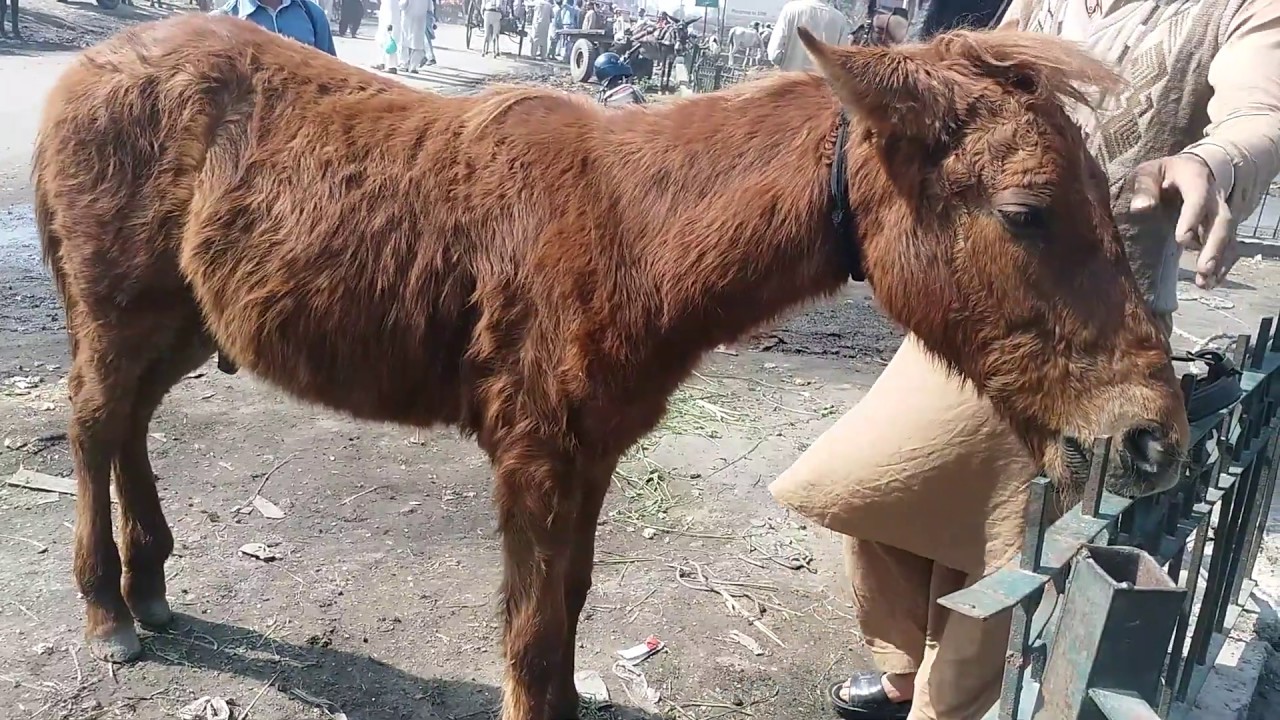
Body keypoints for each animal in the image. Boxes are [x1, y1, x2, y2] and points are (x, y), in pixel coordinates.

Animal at [34, 15, 1188, 720]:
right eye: (1027, 212)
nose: (1152, 439)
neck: (636, 234)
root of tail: (86, 69)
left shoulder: (591, 455)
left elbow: (572, 602)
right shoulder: (535, 456)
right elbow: (532, 631)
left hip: (182, 325)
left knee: (129, 423)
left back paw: (152, 588)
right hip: (118, 310)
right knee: (93, 424)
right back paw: (106, 611)